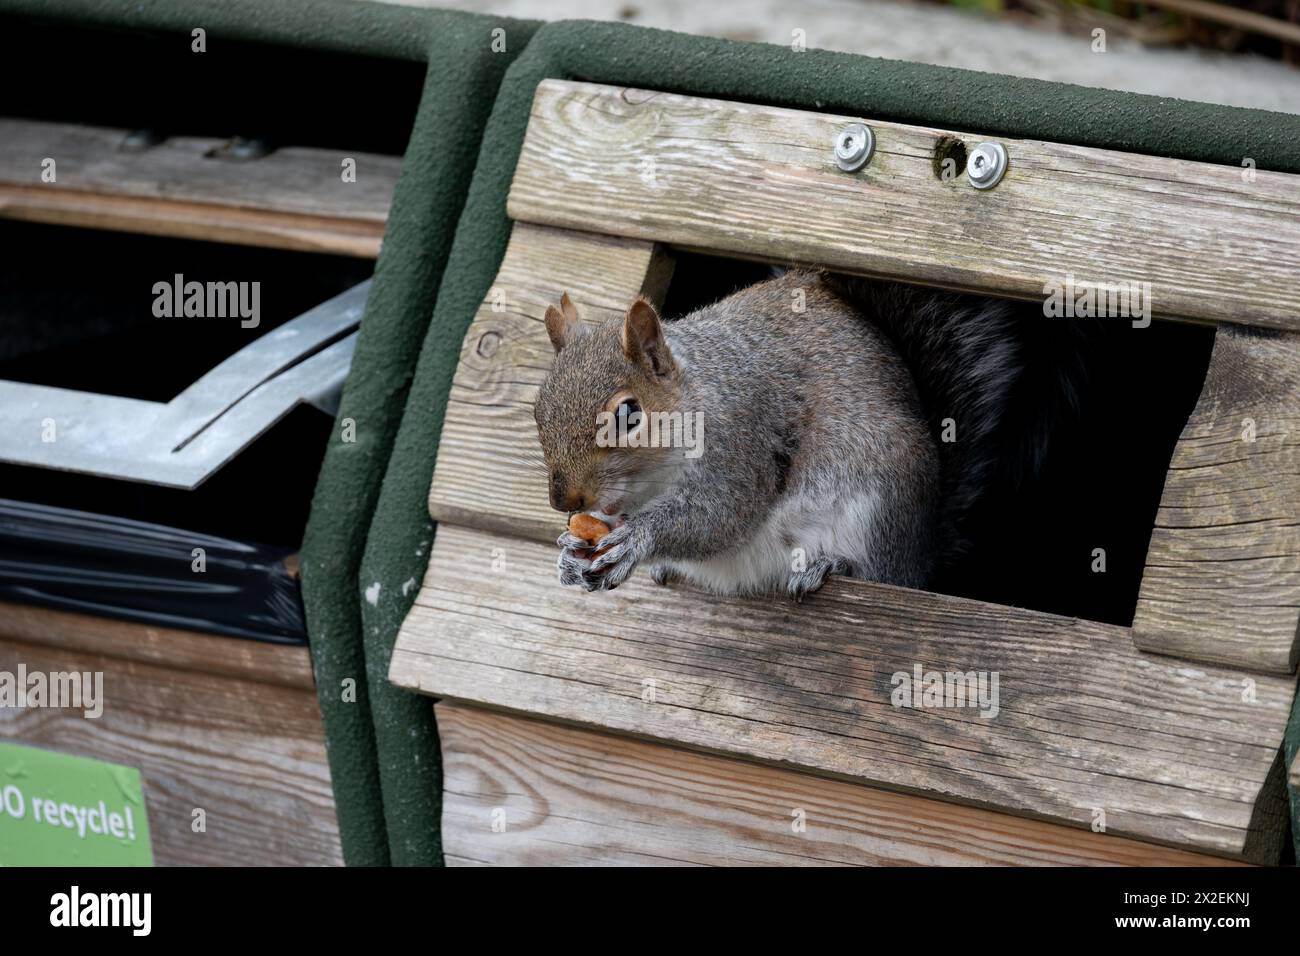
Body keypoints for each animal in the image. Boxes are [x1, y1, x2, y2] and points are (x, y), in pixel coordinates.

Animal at [535, 269, 1065, 599]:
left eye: (629, 414)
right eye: (537, 410)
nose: (564, 501)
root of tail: (921, 558)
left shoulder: (743, 440)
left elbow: (720, 516)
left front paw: (637, 541)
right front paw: (570, 554)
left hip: (879, 505)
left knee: (879, 573)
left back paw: (834, 567)